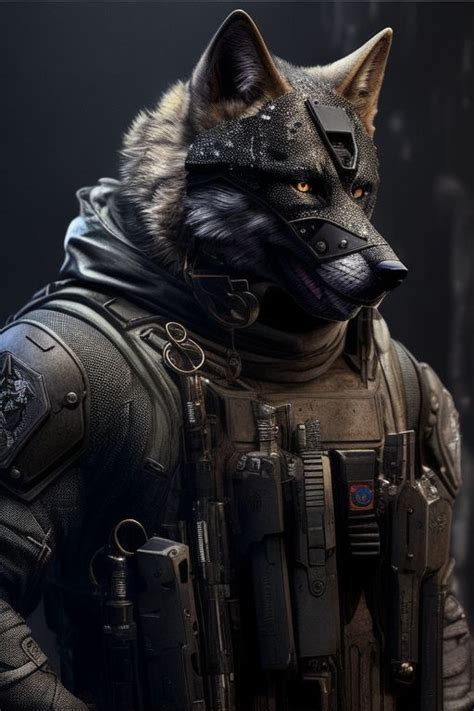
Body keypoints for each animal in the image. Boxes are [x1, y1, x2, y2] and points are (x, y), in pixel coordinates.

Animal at [0, 9, 472, 711]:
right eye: (303, 185)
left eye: (361, 189)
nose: (392, 274)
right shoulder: (58, 365)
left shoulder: (421, 389)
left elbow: (444, 603)